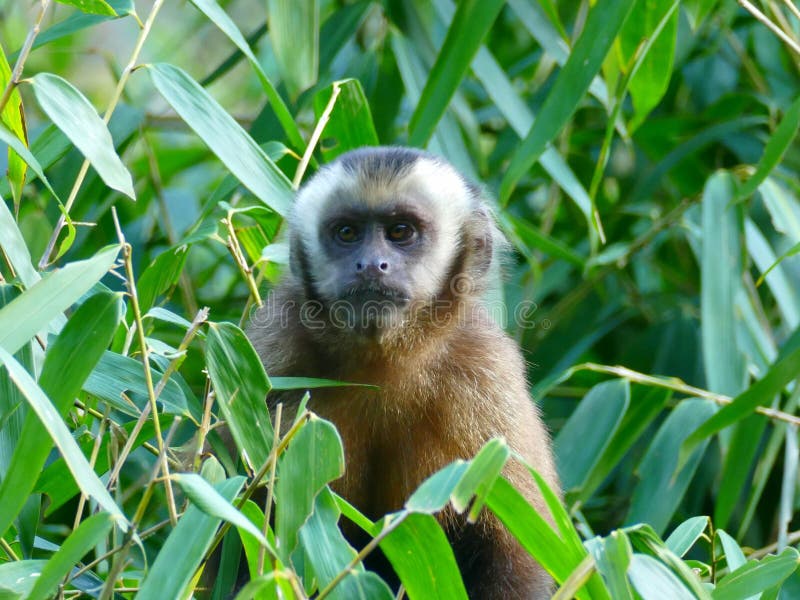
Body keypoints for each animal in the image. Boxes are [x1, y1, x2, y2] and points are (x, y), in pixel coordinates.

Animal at [247, 146, 560, 599]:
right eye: (346, 233)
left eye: (400, 232)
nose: (370, 265)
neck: (385, 365)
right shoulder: (273, 357)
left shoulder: (485, 374)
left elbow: (518, 552)